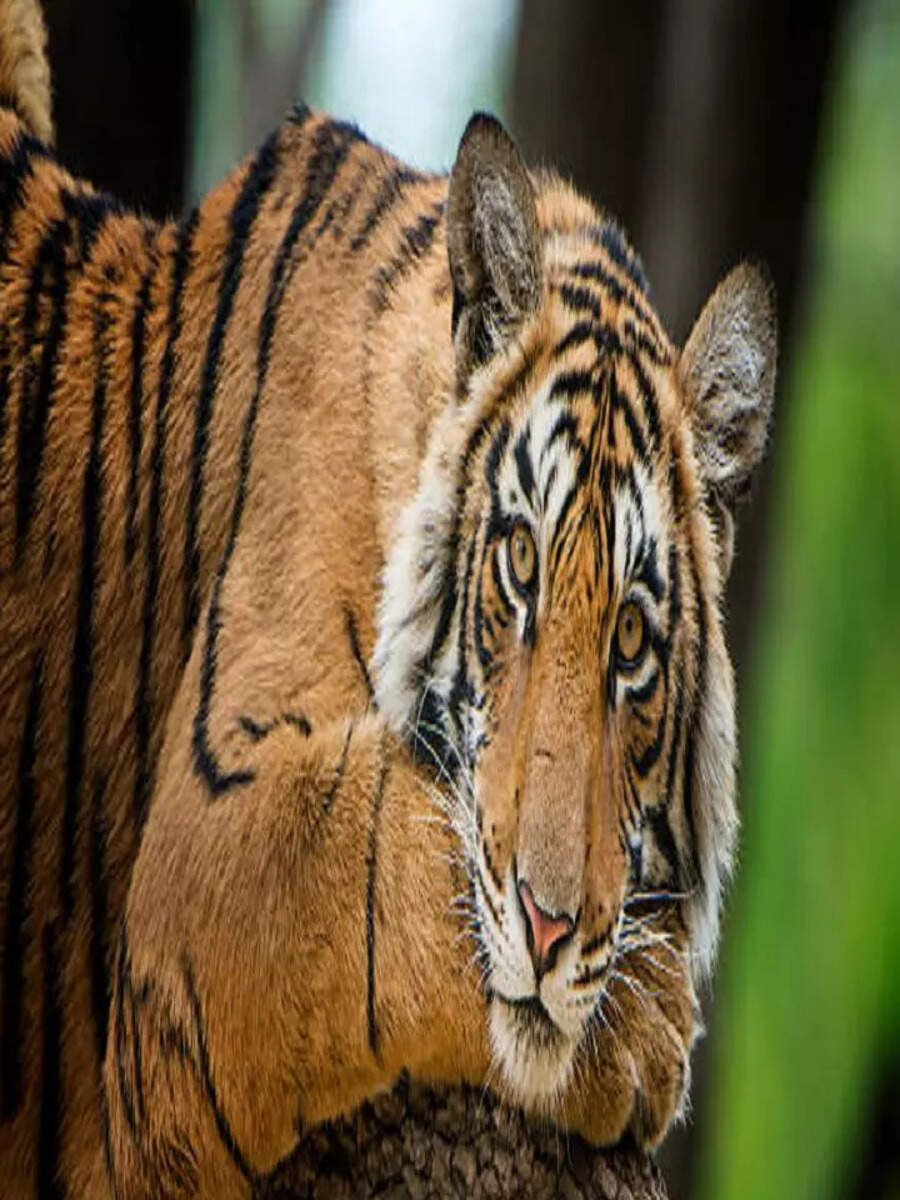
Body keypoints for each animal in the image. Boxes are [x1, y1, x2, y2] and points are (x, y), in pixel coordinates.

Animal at [0, 1, 776, 1196]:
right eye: (517, 565)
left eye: (633, 639)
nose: (554, 928)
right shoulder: (222, 833)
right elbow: (387, 858)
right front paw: (647, 1025)